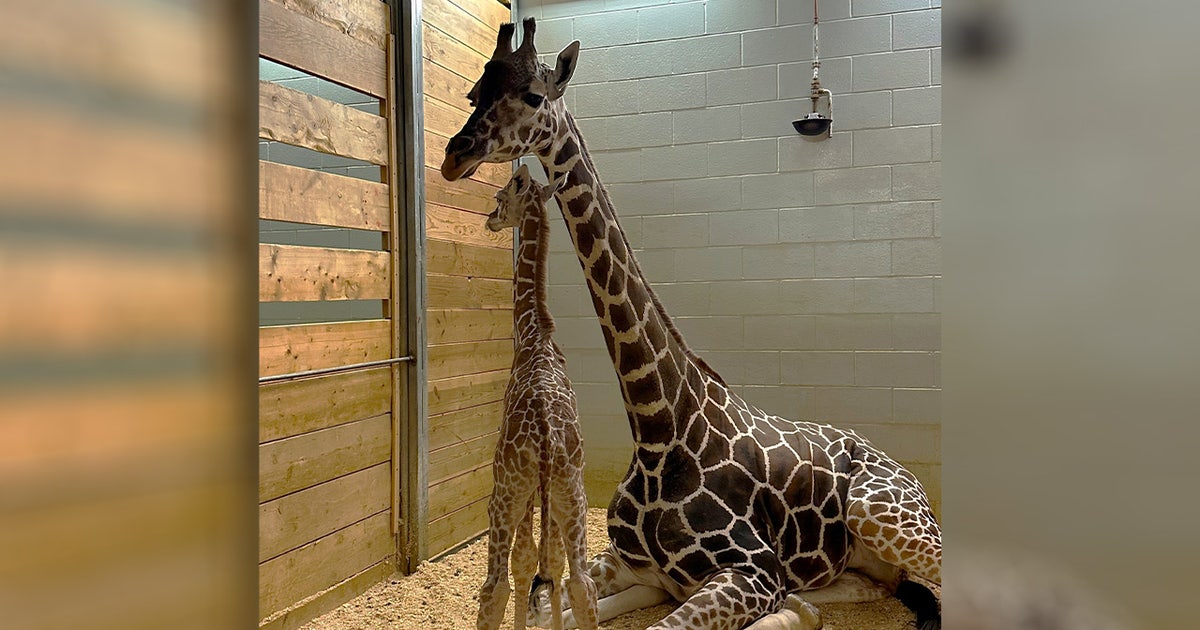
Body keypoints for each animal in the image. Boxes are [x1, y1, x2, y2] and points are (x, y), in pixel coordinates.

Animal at [476, 164, 600, 630]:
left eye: (499, 196)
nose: (489, 220)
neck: (534, 332)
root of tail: (546, 442)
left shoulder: (521, 491)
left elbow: (524, 562)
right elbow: (548, 564)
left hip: (505, 493)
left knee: (494, 586)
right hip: (572, 493)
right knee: (581, 582)